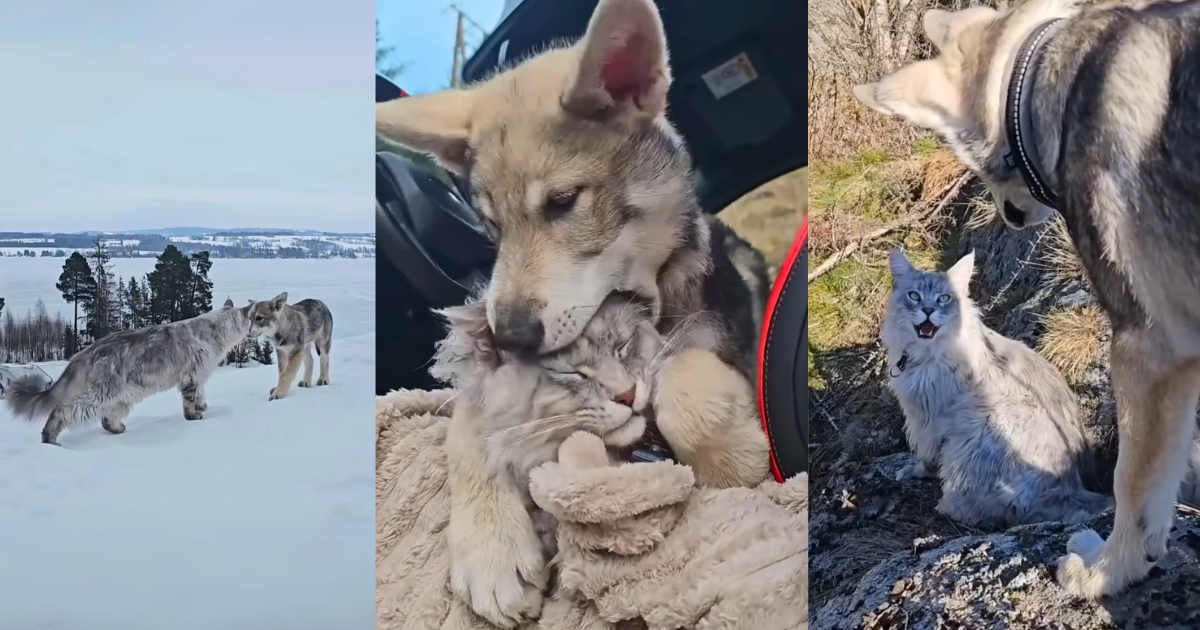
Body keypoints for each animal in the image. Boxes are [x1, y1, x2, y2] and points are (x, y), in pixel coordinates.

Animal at [7, 298, 253, 445]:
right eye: (250, 320)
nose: (253, 328)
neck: (214, 332)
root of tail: (89, 349)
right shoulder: (191, 374)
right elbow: (189, 402)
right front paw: (194, 416)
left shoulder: (199, 374)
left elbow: (201, 393)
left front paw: (202, 406)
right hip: (102, 393)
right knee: (63, 410)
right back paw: (50, 439)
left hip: (125, 394)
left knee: (106, 419)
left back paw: (119, 429)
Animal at [854, 0, 1200, 597]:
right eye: (916, 297)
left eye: (942, 300)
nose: (1008, 217)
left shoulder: (1149, 344)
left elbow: (1134, 491)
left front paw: (1105, 572)